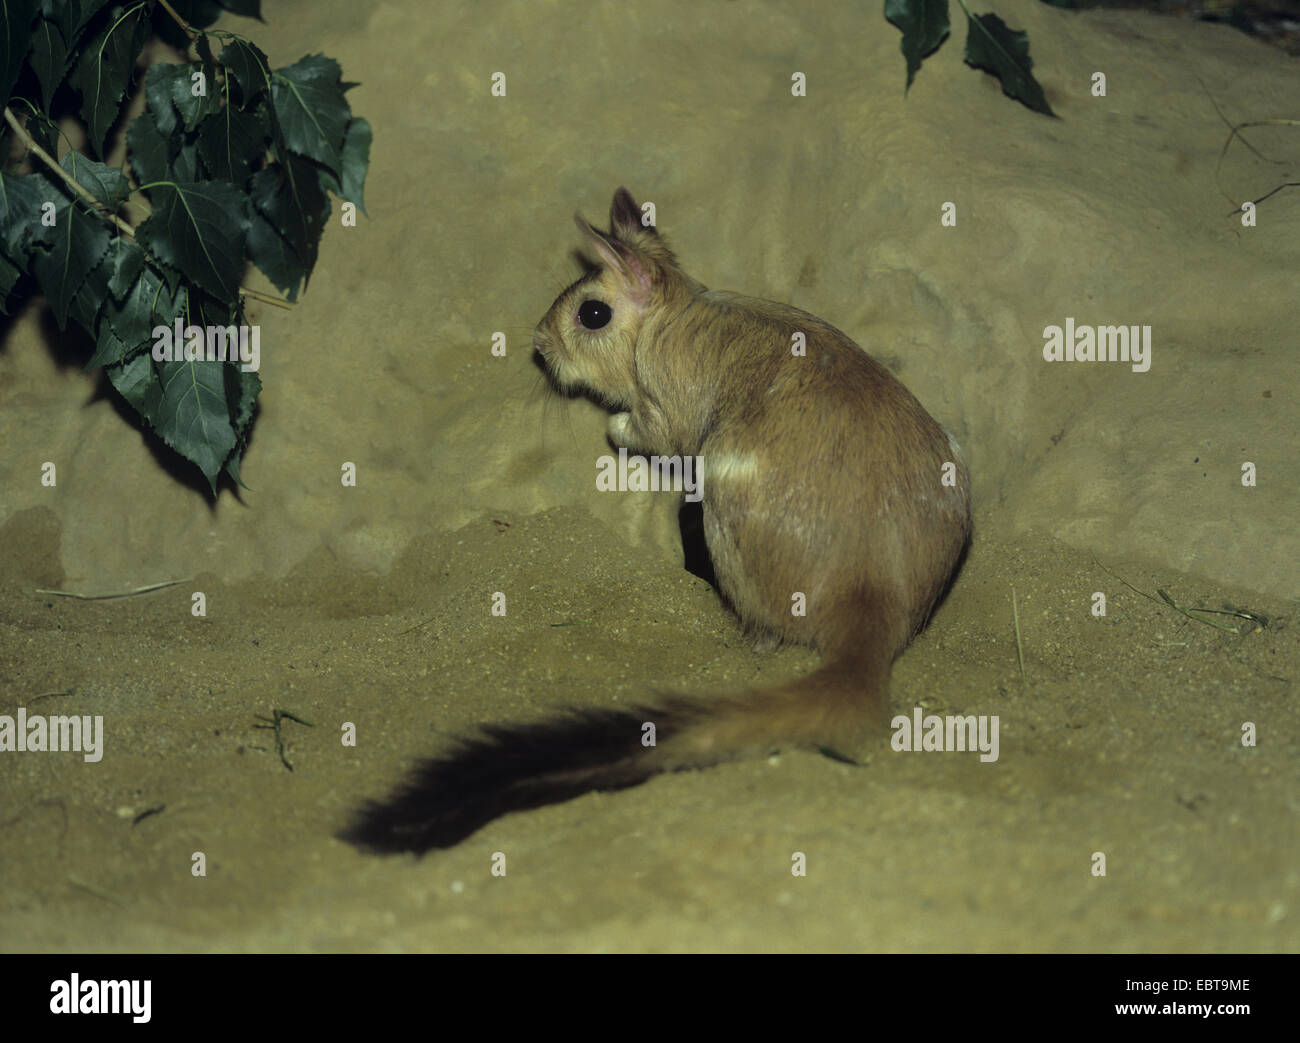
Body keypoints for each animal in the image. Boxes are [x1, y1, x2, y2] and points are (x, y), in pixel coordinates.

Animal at [341, 188, 971, 853]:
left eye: (591, 314)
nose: (538, 344)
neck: (669, 311)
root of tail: (875, 599)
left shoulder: (666, 413)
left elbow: (642, 430)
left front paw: (613, 427)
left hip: (721, 504)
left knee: (767, 631)